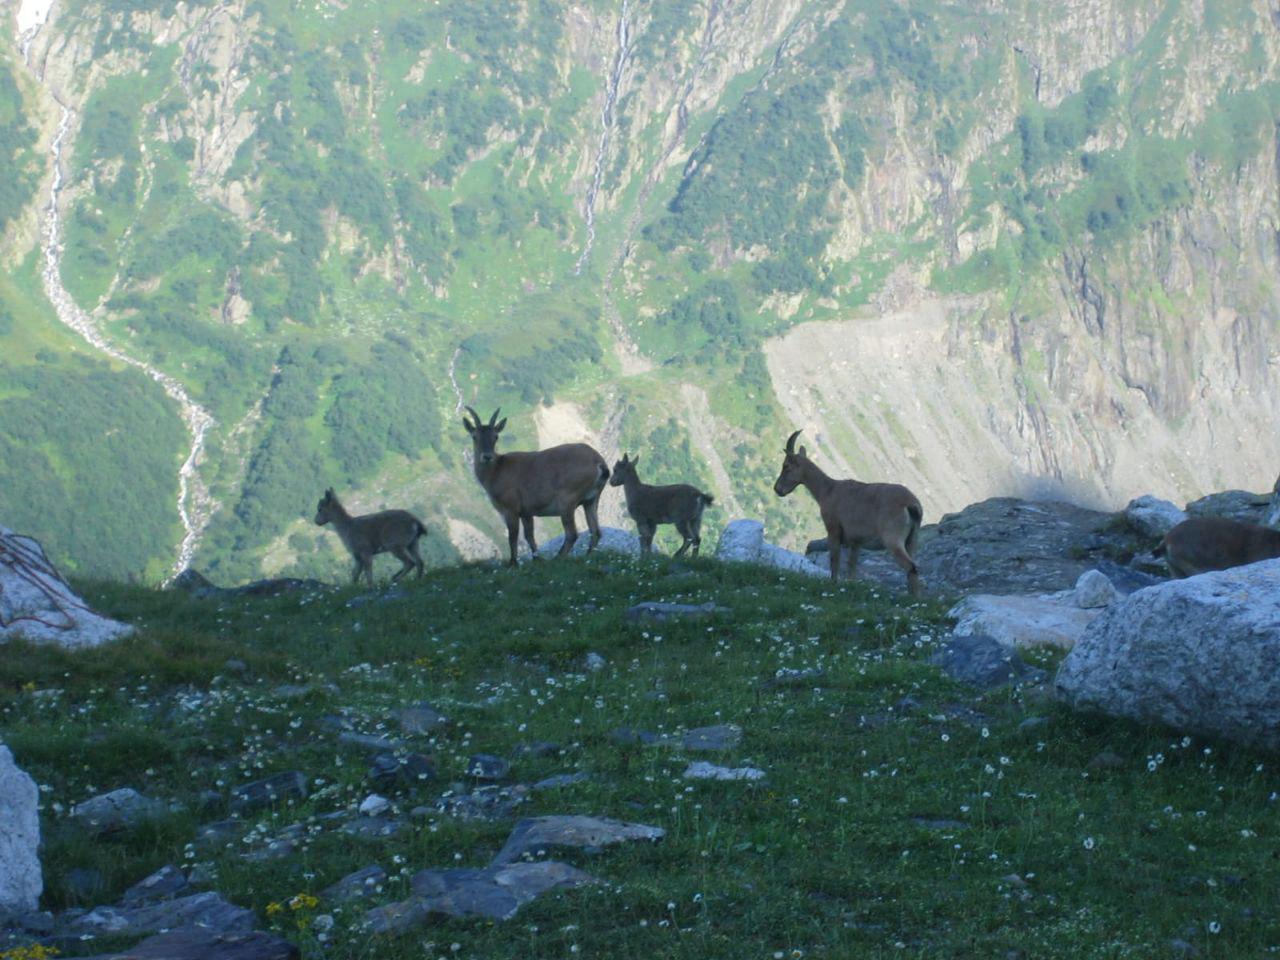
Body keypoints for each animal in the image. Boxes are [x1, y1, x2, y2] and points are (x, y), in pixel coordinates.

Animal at [465, 404, 609, 568]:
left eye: (495, 436)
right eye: (474, 436)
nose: (487, 456)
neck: (497, 471)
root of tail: (598, 462)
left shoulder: (510, 509)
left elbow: (513, 536)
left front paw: (513, 563)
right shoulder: (526, 512)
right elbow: (529, 535)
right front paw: (537, 558)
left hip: (567, 500)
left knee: (572, 533)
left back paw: (557, 558)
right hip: (591, 500)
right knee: (596, 531)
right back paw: (588, 556)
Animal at [768, 432, 921, 599]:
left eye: (786, 466)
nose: (777, 489)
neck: (828, 490)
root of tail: (911, 505)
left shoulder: (833, 529)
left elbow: (835, 559)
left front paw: (833, 584)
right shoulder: (856, 541)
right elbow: (852, 566)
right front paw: (850, 586)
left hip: (892, 539)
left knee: (911, 567)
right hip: (912, 540)